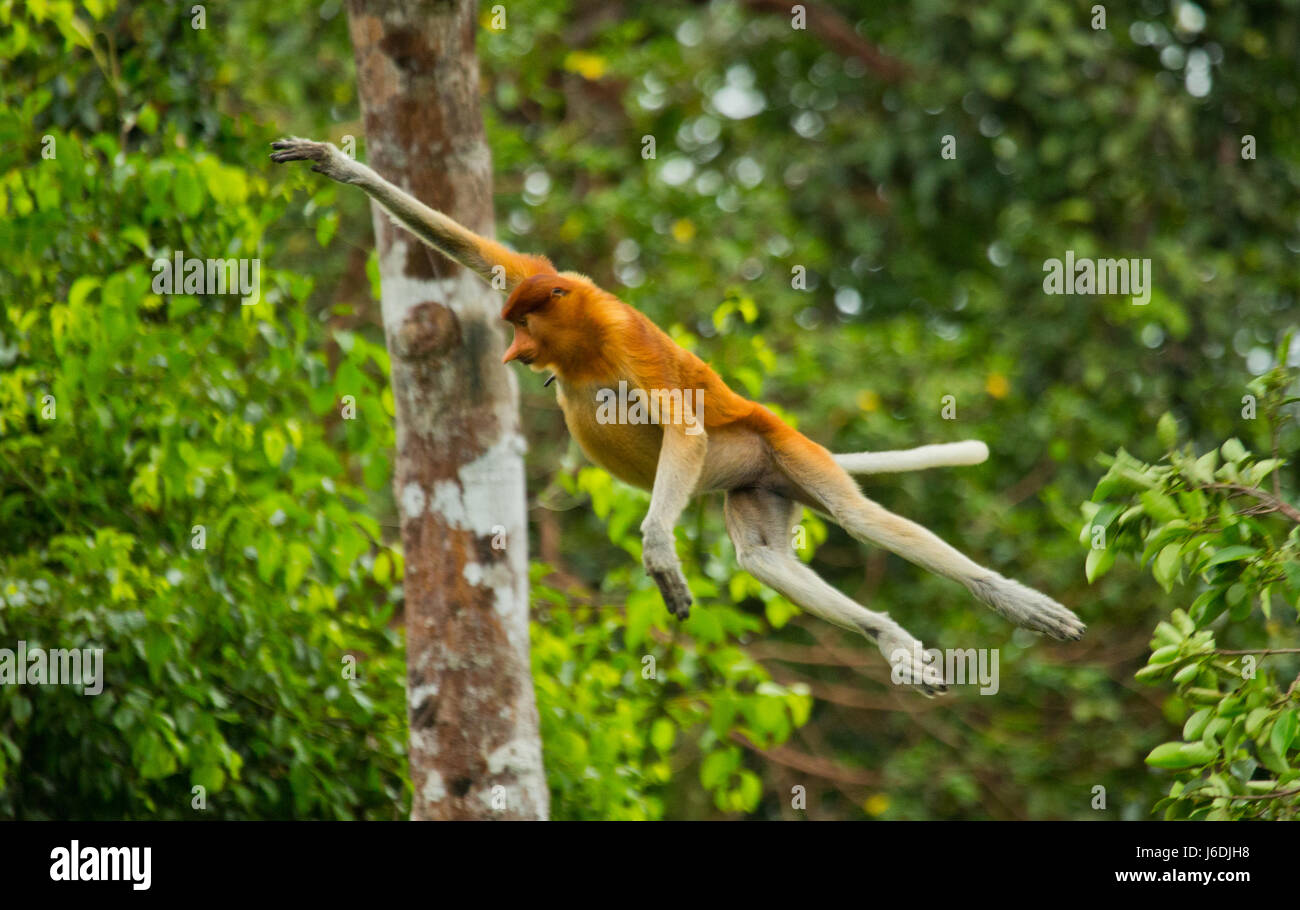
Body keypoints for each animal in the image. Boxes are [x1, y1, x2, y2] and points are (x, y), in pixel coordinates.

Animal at [271, 137, 1085, 694]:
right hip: (755, 484)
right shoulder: (538, 274)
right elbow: (471, 245)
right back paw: (889, 638)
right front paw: (336, 164)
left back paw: (1012, 601)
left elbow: (684, 426)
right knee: (763, 560)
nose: (513, 353)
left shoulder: (624, 341)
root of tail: (772, 444)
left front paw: (659, 553)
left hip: (780, 448)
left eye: (527, 326)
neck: (582, 344)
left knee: (861, 519)